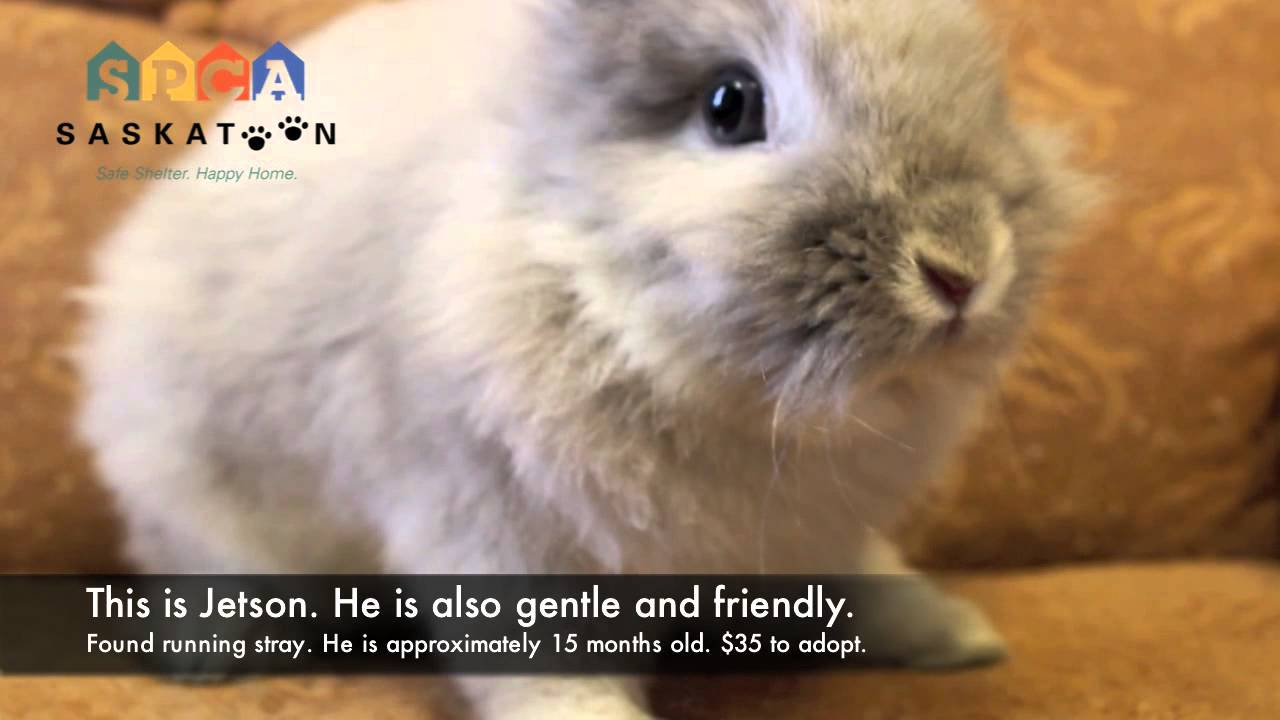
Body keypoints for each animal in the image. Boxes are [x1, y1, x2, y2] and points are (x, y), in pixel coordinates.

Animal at [75, 0, 1096, 717]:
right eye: (730, 105)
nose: (963, 268)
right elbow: (543, 661)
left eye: (991, 92)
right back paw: (209, 660)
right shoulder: (488, 516)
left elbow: (862, 578)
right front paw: (588, 716)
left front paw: (958, 637)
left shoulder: (818, 531)